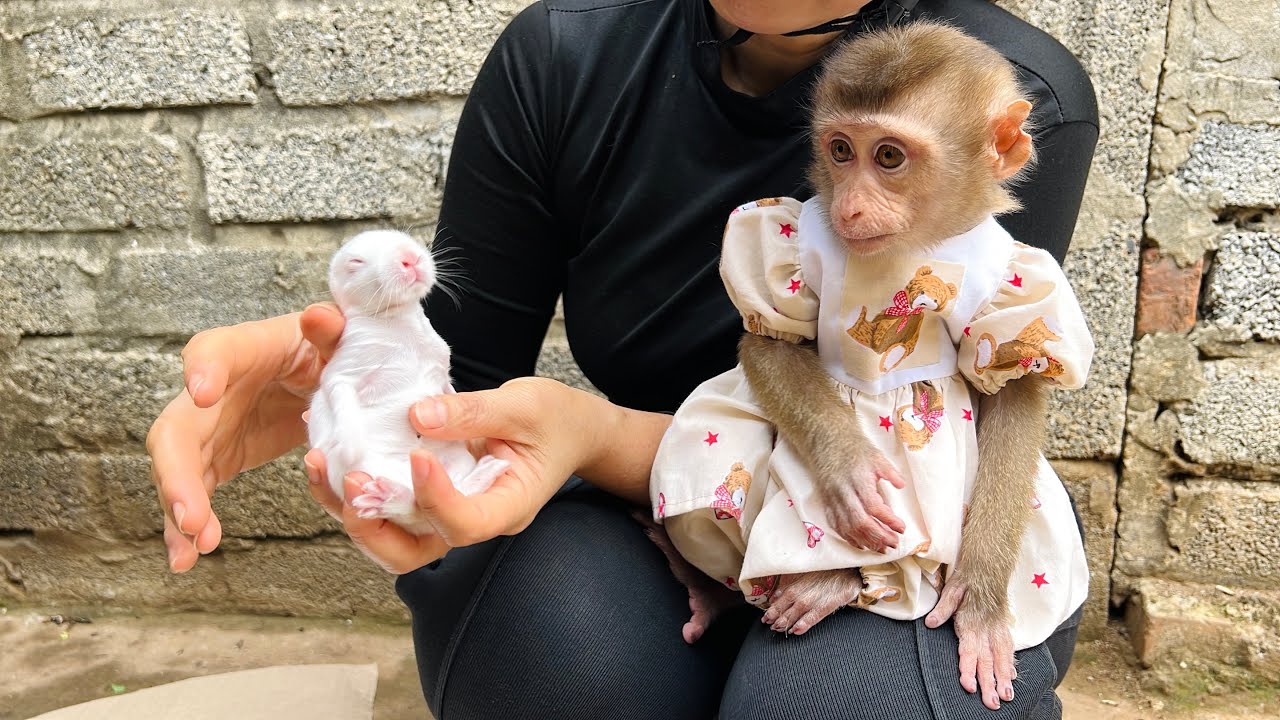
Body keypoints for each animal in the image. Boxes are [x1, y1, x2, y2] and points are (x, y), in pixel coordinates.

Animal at [648, 20, 1093, 712]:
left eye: (887, 157)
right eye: (839, 150)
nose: (849, 206)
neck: (912, 250)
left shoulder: (1018, 291)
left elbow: (1014, 387)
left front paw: (982, 597)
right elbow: (772, 342)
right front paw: (851, 469)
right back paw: (766, 584)